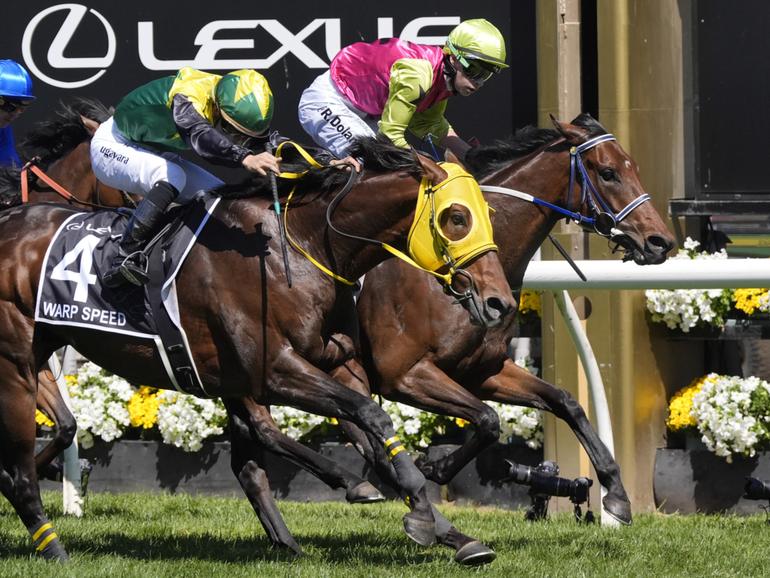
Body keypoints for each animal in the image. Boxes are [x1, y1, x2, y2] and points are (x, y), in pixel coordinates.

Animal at [0, 140, 510, 564]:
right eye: (456, 217)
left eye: (487, 213)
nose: (499, 302)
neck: (300, 246)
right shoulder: (274, 371)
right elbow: (372, 417)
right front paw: (421, 509)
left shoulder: (337, 363)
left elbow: (382, 432)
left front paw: (445, 524)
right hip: (17, 365)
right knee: (22, 470)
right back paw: (55, 549)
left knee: (247, 460)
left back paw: (292, 539)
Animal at [330, 115, 672, 524]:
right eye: (608, 173)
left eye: (632, 166)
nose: (661, 241)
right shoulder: (404, 374)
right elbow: (488, 420)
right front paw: (433, 467)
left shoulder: (482, 371)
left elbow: (565, 402)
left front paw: (616, 494)